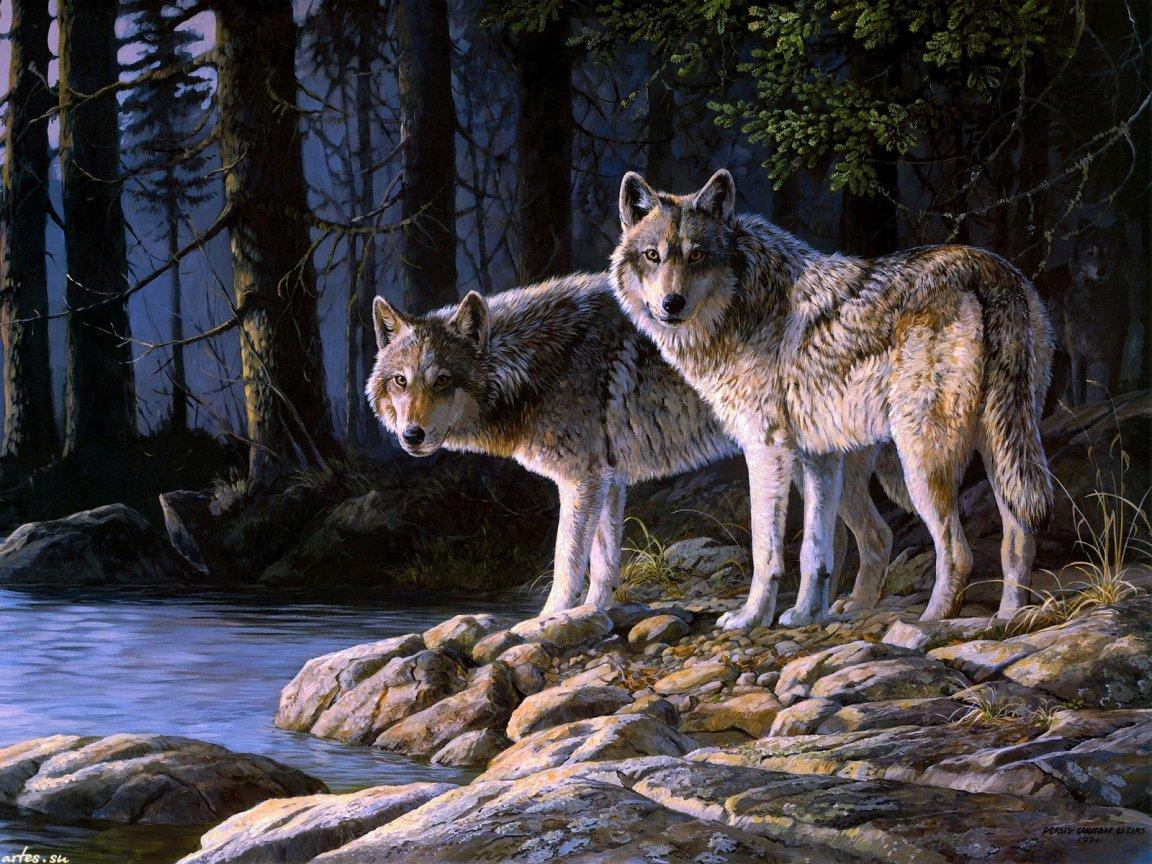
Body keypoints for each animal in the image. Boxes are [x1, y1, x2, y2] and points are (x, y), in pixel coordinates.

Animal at [366, 273, 894, 616]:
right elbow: (603, 562)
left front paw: (544, 622)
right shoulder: (607, 480)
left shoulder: (581, 481)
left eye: (443, 381)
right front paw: (589, 615)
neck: (531, 364)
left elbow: (567, 561)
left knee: (860, 538)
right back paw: (835, 612)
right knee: (863, 537)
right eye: (400, 381)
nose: (411, 435)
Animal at [612, 170, 1054, 628]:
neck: (743, 301)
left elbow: (767, 549)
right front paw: (805, 614)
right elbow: (817, 549)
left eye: (696, 255)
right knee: (1007, 538)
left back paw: (928, 621)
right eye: (652, 255)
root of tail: (988, 267)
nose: (671, 303)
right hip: (995, 449)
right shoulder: (817, 456)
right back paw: (1004, 617)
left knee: (956, 550)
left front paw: (751, 617)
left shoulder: (765, 450)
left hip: (922, 459)